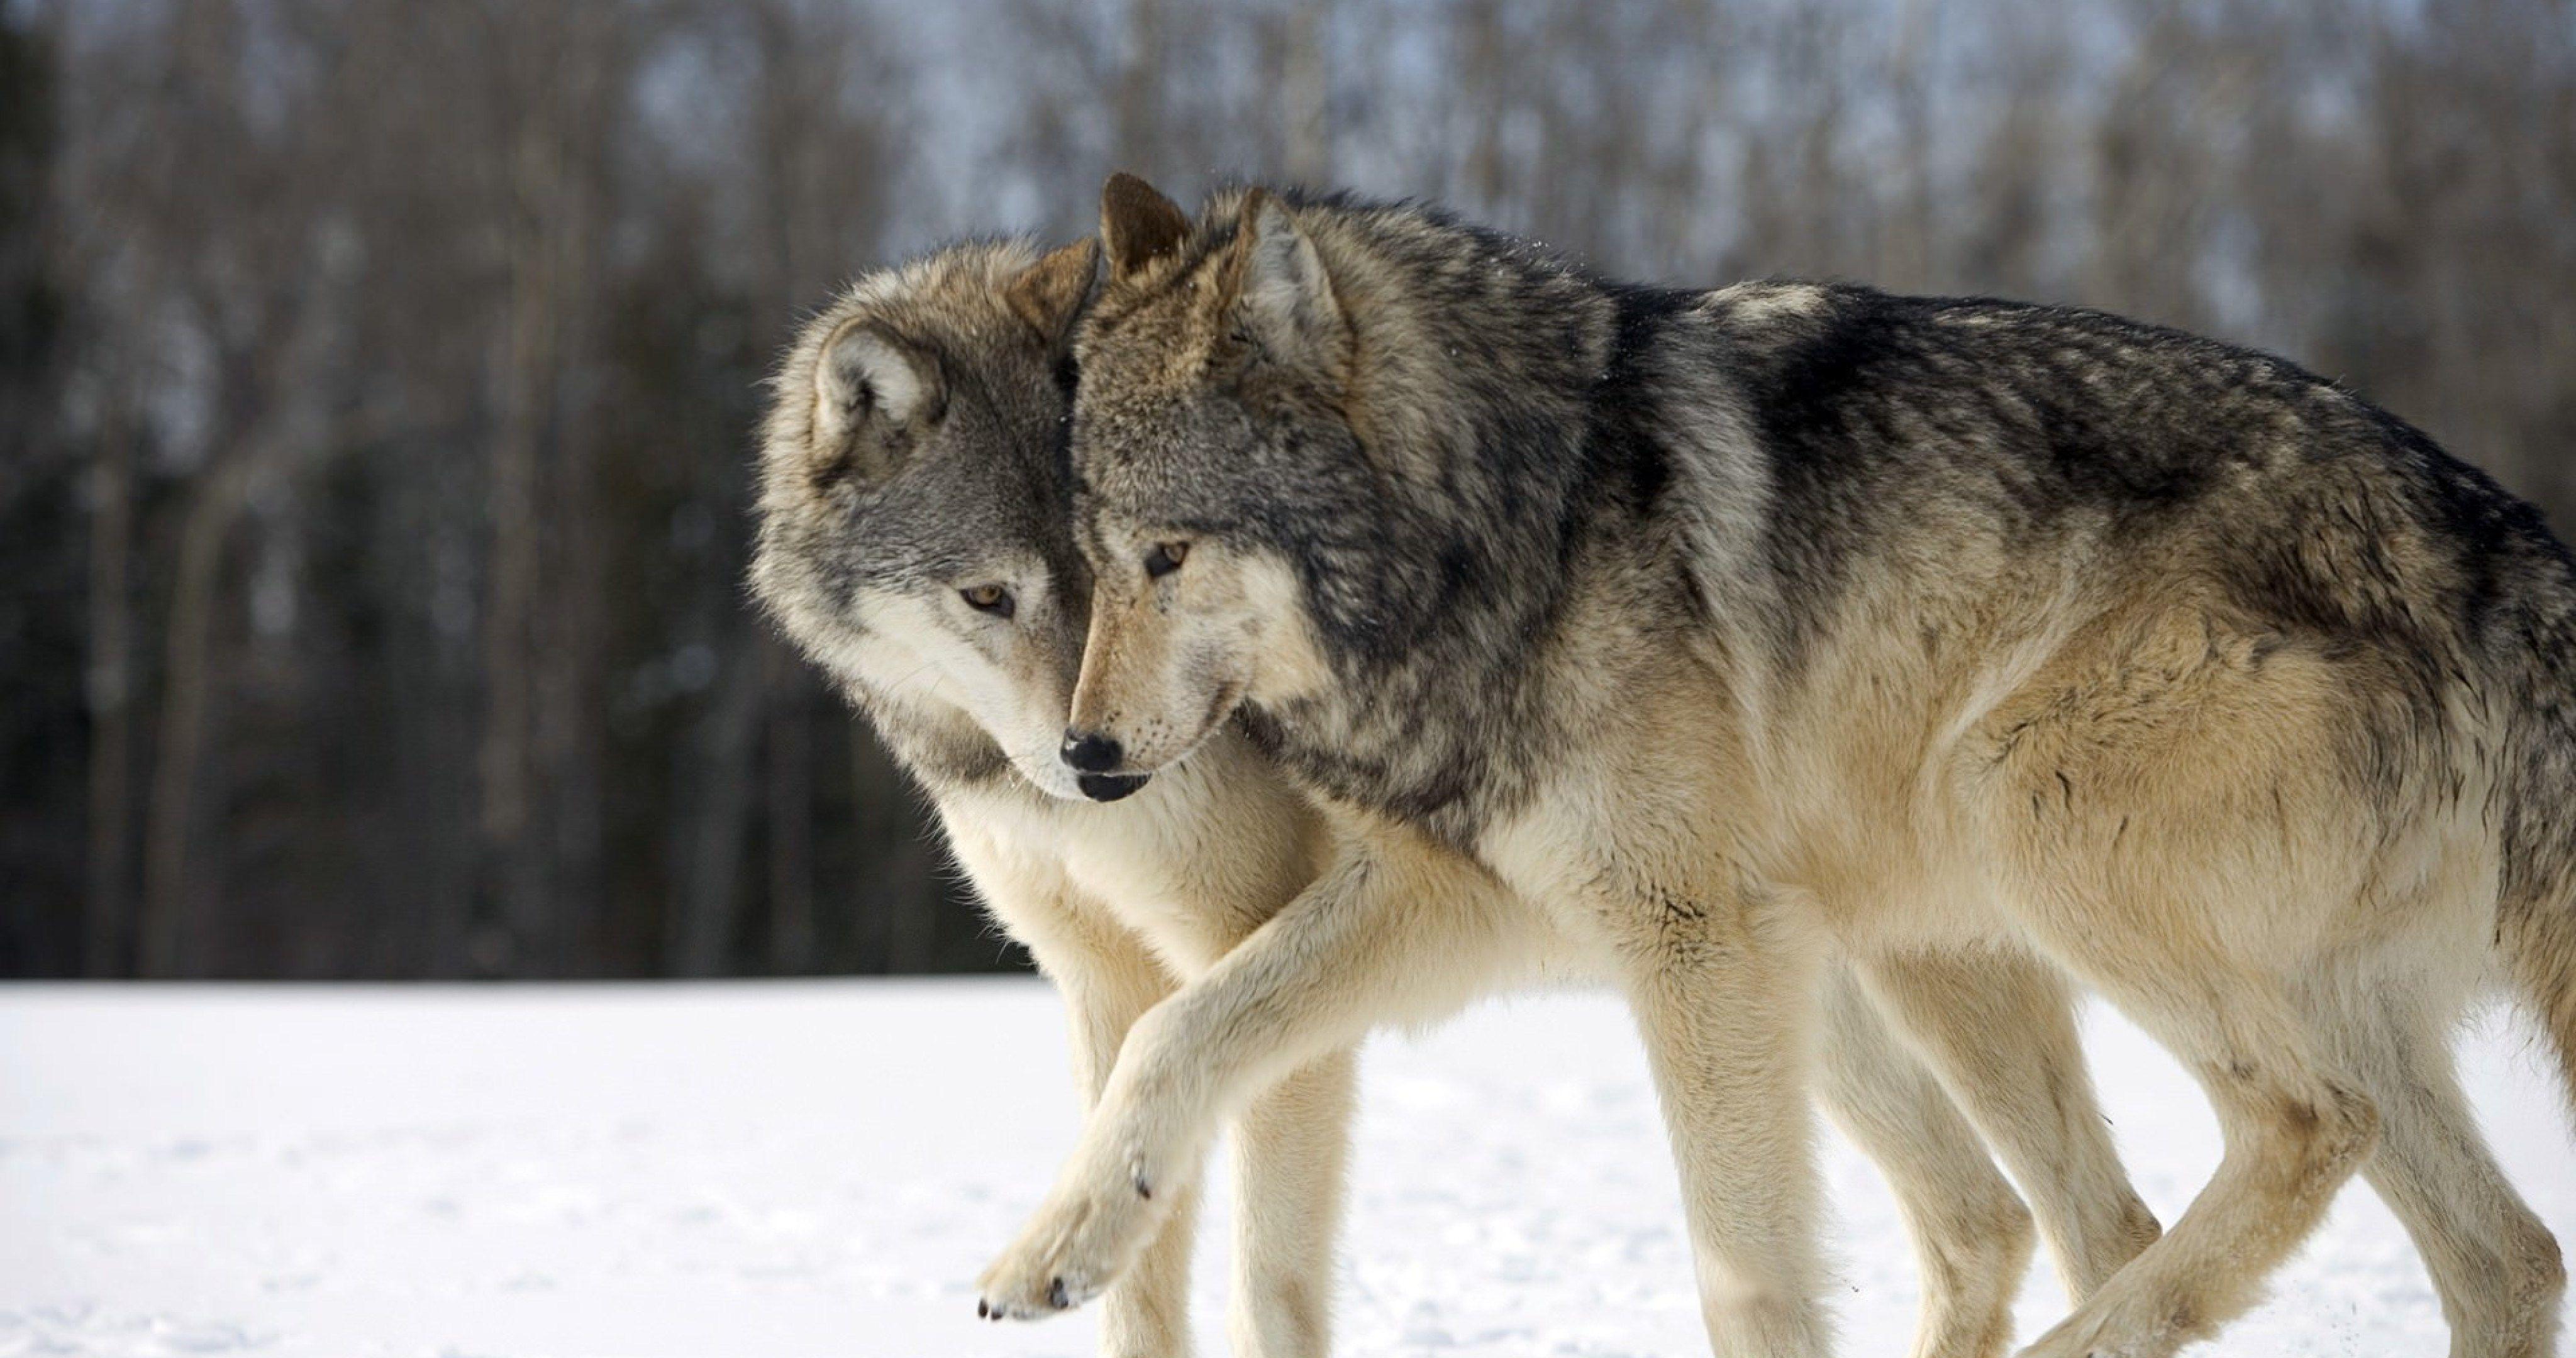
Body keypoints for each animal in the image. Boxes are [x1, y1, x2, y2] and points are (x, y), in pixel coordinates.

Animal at [753, 238, 2160, 1358]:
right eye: (991, 596)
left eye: (1146, 572)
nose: (1094, 763)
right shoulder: (1103, 978)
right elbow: (1140, 1277)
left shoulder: (1284, 945)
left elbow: (1258, 1261)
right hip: (1799, 989)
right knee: (1992, 1219)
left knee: (2076, 1221)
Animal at [978, 174, 2576, 1358]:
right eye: (1091, 559)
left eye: (1167, 555)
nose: (1085, 757)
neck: (1514, 524)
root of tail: (2494, 534)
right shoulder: (1466, 899)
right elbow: (1175, 1028)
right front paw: (1052, 1247)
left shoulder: (1692, 938)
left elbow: (1745, 1273)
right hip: (1966, 948)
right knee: (2488, 1252)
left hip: (2011, 810)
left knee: (2299, 1132)